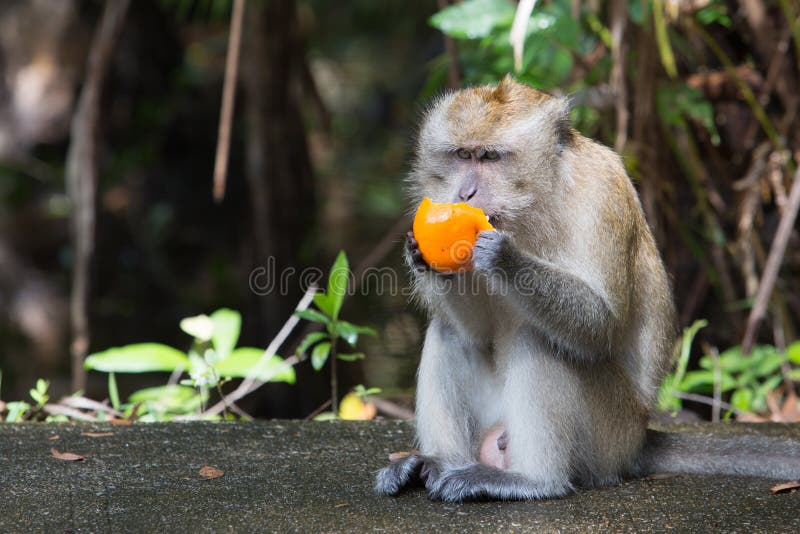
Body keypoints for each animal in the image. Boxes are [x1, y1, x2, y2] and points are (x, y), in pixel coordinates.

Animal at [375, 76, 800, 502]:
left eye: (490, 157)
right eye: (463, 154)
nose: (464, 195)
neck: (538, 201)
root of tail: (638, 439)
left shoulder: (601, 196)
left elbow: (599, 325)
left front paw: (504, 257)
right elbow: (475, 333)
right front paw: (419, 254)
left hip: (609, 437)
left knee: (539, 337)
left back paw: (532, 481)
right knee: (449, 331)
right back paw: (437, 462)